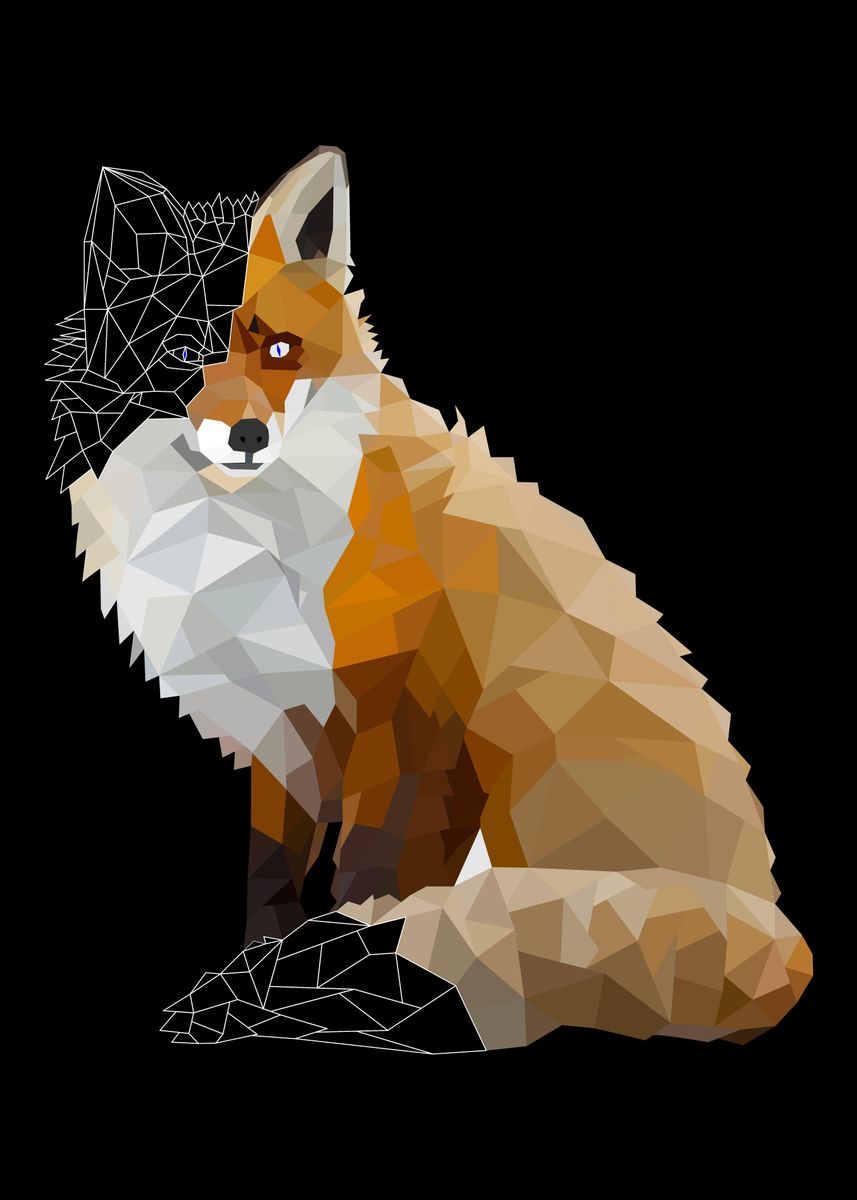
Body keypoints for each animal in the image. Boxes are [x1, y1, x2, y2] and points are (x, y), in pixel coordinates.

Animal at [58, 146, 811, 1050]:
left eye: (282, 349)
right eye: (176, 353)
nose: (247, 437)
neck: (256, 542)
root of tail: (779, 943)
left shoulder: (408, 717)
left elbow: (362, 883)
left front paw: (286, 982)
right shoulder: (282, 727)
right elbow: (271, 876)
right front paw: (258, 963)